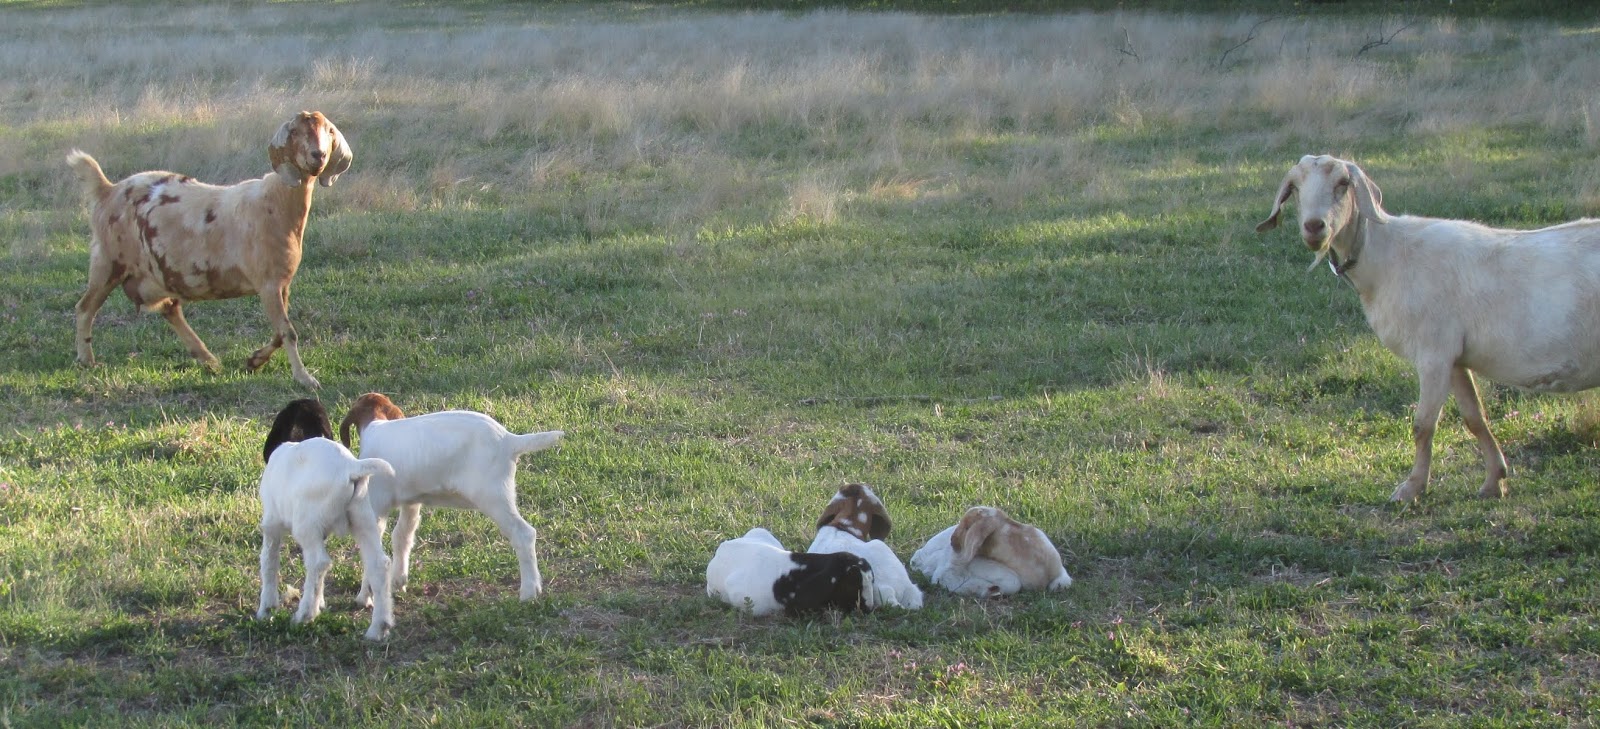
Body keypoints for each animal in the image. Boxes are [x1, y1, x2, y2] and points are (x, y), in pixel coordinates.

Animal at [66, 111, 352, 390]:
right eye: (294, 132)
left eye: (328, 130)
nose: (318, 155)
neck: (275, 202)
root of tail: (107, 190)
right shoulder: (268, 282)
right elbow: (288, 331)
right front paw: (304, 378)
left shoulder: (282, 283)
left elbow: (280, 333)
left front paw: (254, 361)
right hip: (108, 262)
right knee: (85, 307)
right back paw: (86, 359)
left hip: (156, 274)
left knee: (169, 309)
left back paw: (208, 360)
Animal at [257, 403, 394, 640]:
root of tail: (351, 468)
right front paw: (319, 602)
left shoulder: (271, 523)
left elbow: (269, 562)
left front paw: (266, 608)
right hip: (364, 519)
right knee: (379, 564)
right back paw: (378, 628)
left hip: (305, 525)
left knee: (319, 562)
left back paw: (304, 615)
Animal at [339, 393, 563, 602]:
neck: (375, 426)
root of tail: (509, 440)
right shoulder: (411, 503)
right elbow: (402, 535)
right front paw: (399, 580)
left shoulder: (375, 507)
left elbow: (372, 550)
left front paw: (365, 596)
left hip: (492, 496)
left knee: (523, 533)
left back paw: (528, 591)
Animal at [911, 507, 1071, 597]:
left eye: (967, 527)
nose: (953, 541)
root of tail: (916, 557)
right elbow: (1013, 582)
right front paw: (989, 590)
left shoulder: (1061, 574)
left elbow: (1063, 583)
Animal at [1258, 154, 1600, 500]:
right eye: (1295, 187)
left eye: (1343, 183)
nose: (1314, 226)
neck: (1387, 259)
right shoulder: (1455, 357)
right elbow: (1474, 418)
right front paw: (1494, 481)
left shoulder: (1433, 352)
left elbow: (1423, 425)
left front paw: (1411, 488)